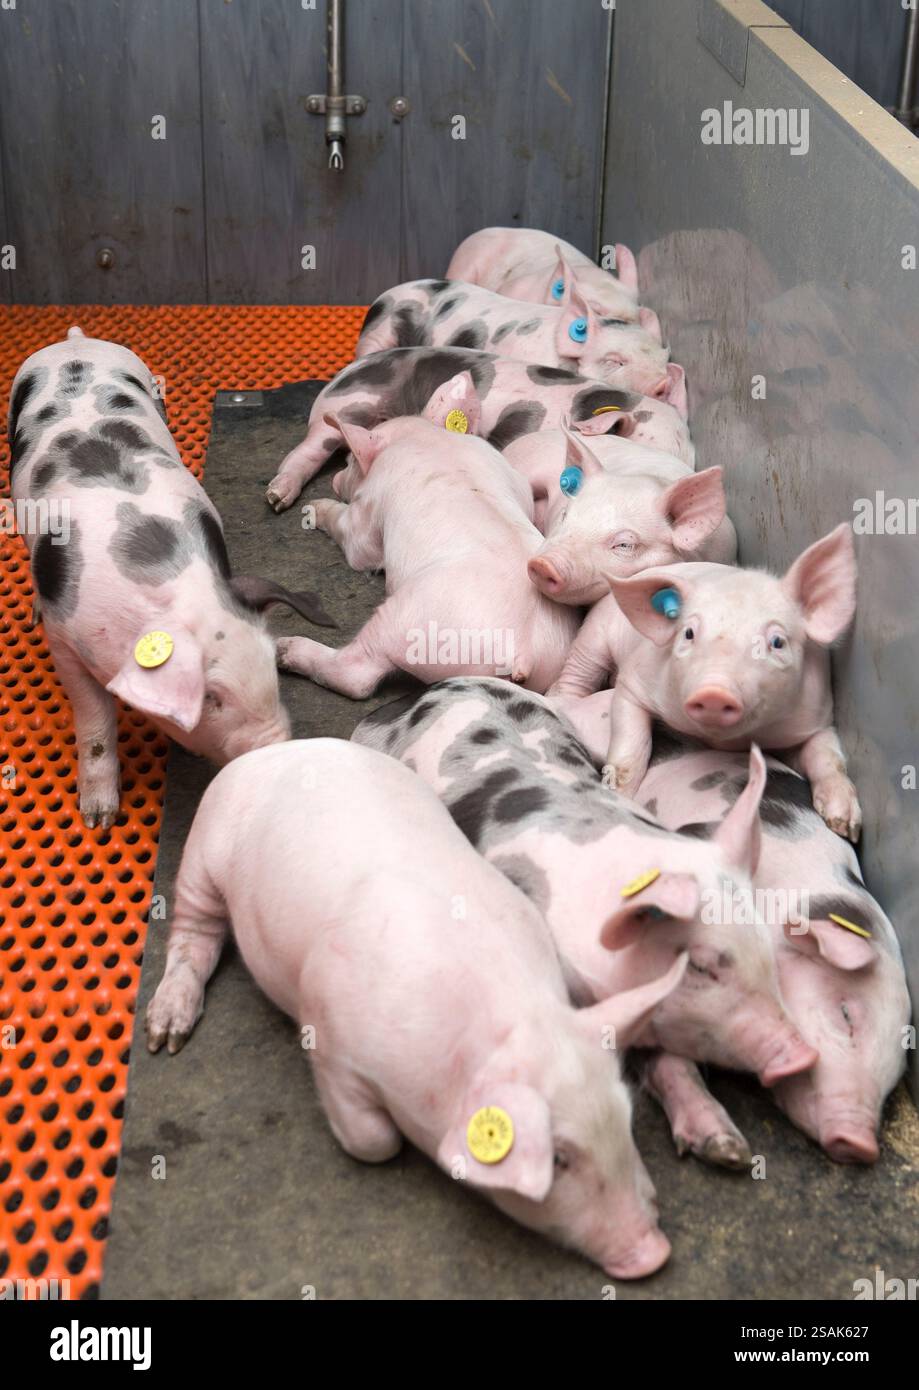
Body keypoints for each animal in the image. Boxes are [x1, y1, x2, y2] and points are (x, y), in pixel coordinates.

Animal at [7, 327, 332, 828]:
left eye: (271, 668)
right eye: (211, 697)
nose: (276, 745)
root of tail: (75, 340)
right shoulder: (65, 642)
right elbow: (94, 721)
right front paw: (99, 819)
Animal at [146, 737, 690, 1278]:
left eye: (625, 1124)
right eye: (558, 1158)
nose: (655, 1254)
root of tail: (281, 749)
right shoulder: (329, 1035)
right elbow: (374, 1141)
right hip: (203, 847)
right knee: (194, 933)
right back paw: (165, 1037)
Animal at [276, 380, 581, 696]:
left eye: (349, 462)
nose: (335, 479)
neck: (427, 438)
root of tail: (524, 651)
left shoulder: (369, 511)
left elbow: (358, 547)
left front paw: (312, 509)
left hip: (408, 619)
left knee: (356, 675)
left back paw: (283, 649)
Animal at [548, 525, 862, 840]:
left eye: (777, 642)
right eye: (688, 633)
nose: (715, 692)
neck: (723, 740)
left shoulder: (816, 716)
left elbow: (828, 757)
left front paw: (847, 825)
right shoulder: (635, 682)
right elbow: (631, 744)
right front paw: (621, 795)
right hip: (594, 637)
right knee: (575, 675)